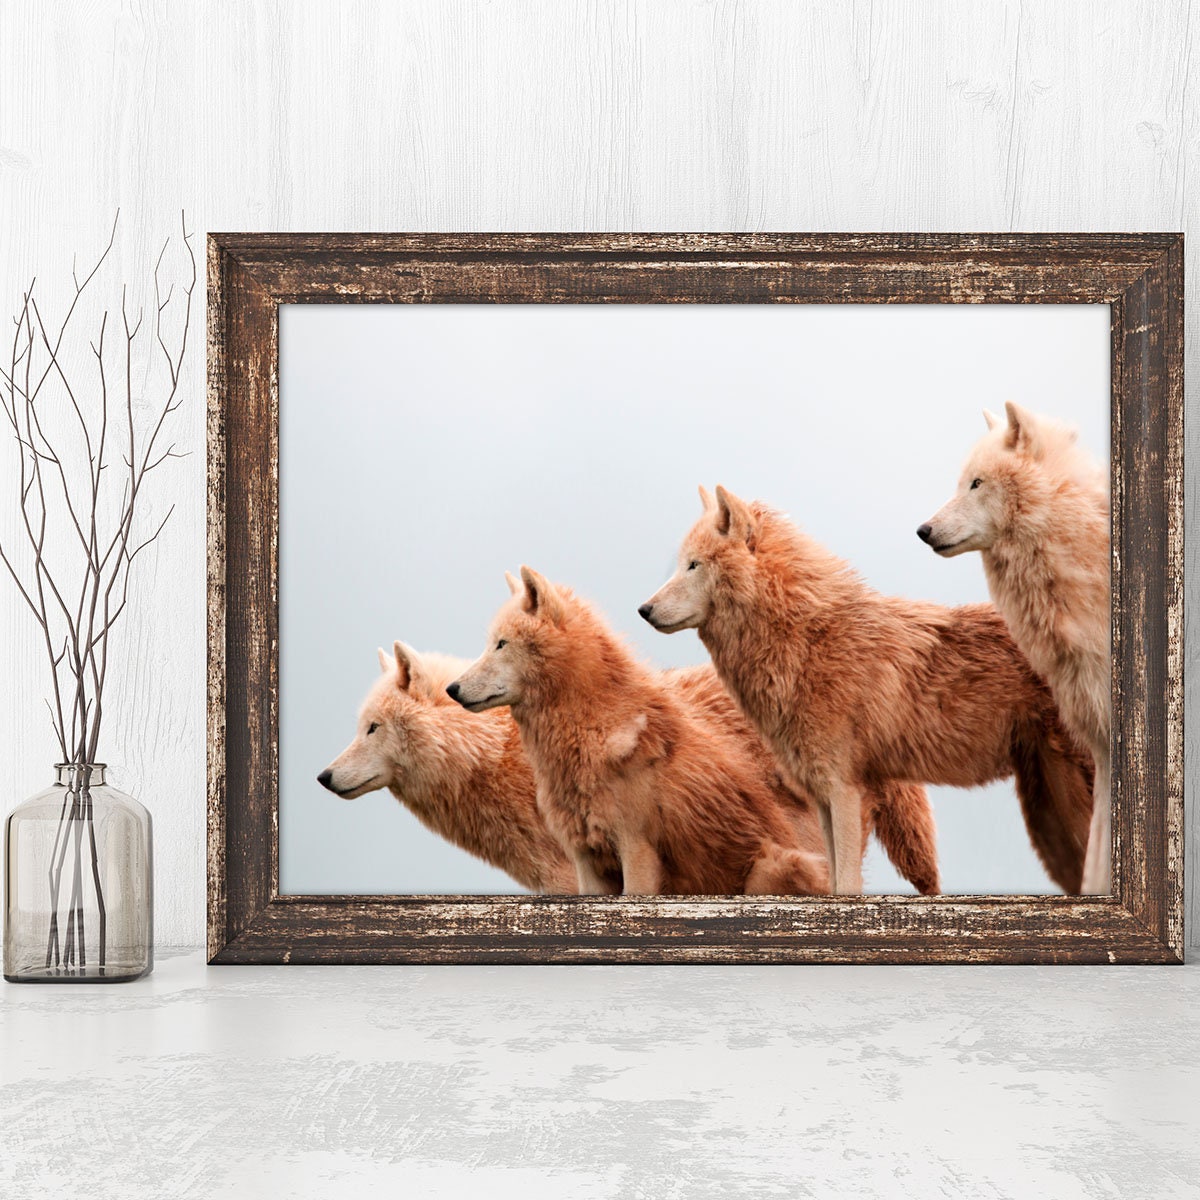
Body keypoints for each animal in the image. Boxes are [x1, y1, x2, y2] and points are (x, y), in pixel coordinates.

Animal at [446, 568, 940, 896]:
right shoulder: (586, 861)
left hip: (779, 865)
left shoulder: (637, 850)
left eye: (501, 645)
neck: (592, 733)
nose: (452, 688)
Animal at [639, 485, 1096, 896]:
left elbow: (846, 886)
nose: (643, 610)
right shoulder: (823, 799)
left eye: (693, 566)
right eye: (681, 564)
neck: (807, 642)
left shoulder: (845, 793)